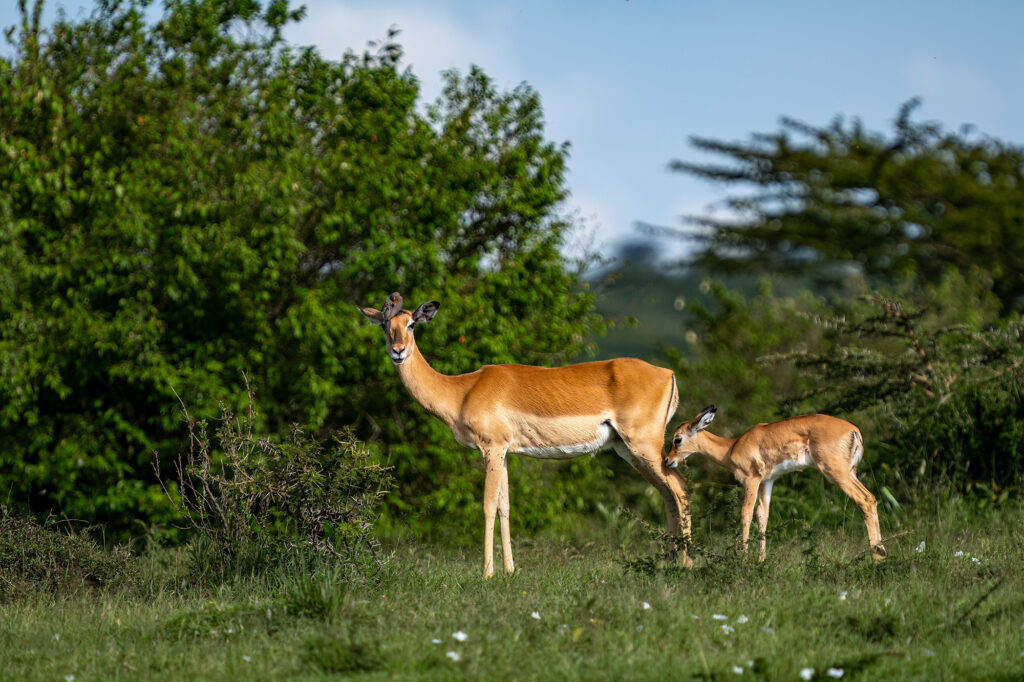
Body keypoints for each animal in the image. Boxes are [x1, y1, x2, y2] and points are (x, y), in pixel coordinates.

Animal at [358, 292, 691, 578]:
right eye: (385, 325)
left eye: (411, 324)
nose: (398, 352)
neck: (461, 390)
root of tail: (668, 374)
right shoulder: (504, 451)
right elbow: (505, 507)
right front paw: (509, 571)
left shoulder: (491, 448)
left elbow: (488, 506)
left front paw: (487, 574)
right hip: (628, 451)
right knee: (667, 494)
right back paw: (668, 561)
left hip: (644, 445)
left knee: (679, 488)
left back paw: (685, 565)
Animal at [664, 405, 887, 563]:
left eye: (677, 439)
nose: (667, 461)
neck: (731, 447)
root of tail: (854, 430)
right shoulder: (767, 481)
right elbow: (763, 516)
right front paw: (761, 560)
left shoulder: (751, 480)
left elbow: (745, 513)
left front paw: (743, 558)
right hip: (850, 472)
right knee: (872, 498)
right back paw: (882, 554)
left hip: (836, 473)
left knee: (864, 500)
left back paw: (877, 558)